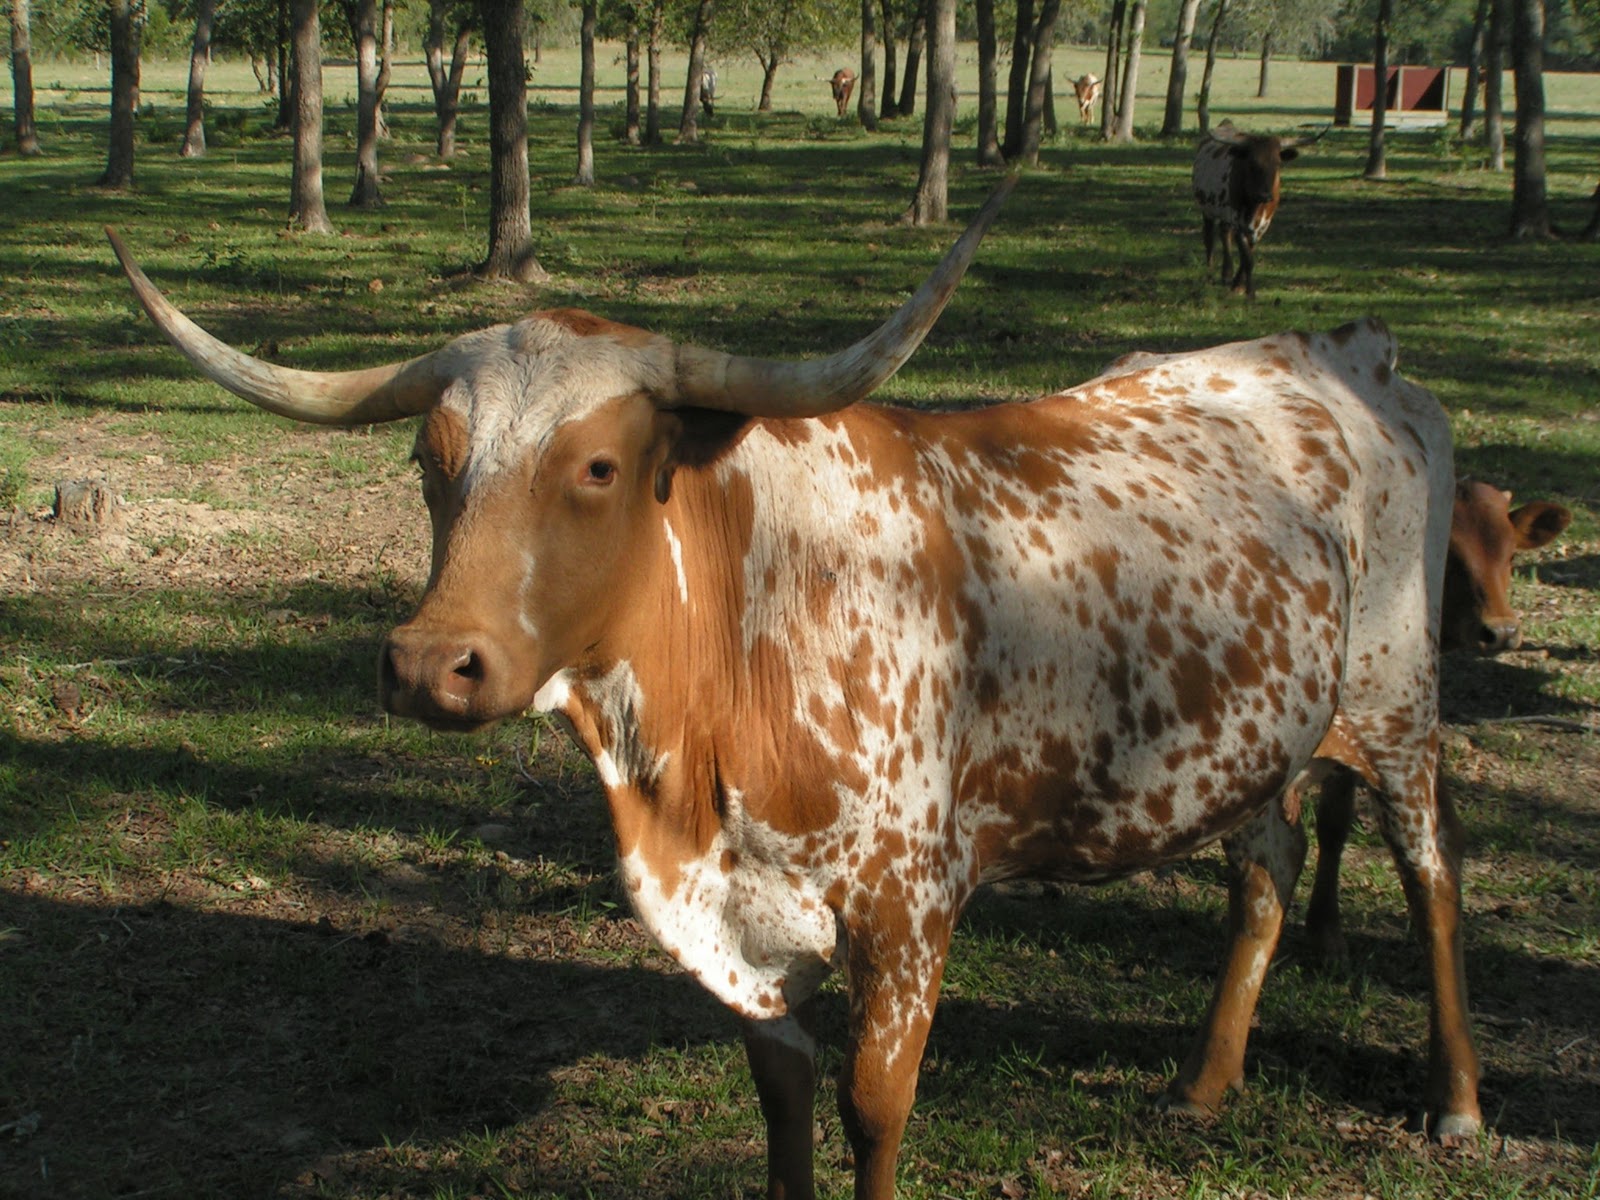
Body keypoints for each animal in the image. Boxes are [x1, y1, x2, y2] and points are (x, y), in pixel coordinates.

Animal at [107, 180, 1483, 1200]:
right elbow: (783, 1093)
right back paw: (1203, 1085)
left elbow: (875, 1107)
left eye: (598, 466)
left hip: (1397, 700)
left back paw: (1457, 1101)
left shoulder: (910, 906)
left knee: (1430, 876)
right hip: (1256, 734)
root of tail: (1344, 350)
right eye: (426, 459)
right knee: (1267, 869)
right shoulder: (744, 925)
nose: (427, 663)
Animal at [1192, 121, 1307, 299]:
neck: (1257, 206)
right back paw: (1210, 274)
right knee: (1209, 238)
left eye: (1277, 164)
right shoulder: (1240, 223)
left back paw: (1226, 273)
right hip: (1208, 210)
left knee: (1224, 233)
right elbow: (1248, 258)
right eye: (1252, 164)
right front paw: (1249, 292)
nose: (1265, 195)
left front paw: (1238, 285)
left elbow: (1248, 255)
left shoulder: (1261, 227)